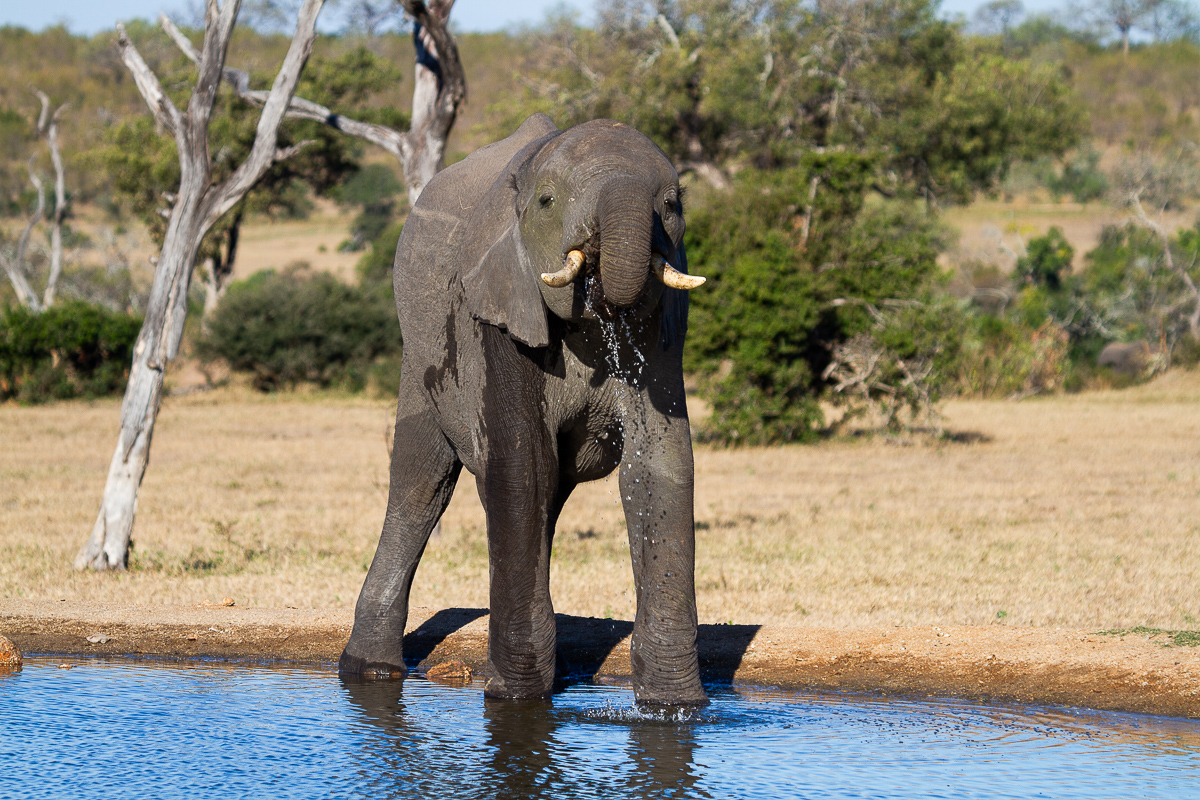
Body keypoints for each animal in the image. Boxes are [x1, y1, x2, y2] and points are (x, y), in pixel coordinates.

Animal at [338, 113, 709, 706]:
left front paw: (674, 706)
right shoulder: (498, 307)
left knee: (545, 498)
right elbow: (519, 466)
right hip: (420, 353)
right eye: (547, 201)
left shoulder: (663, 323)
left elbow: (659, 466)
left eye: (672, 205)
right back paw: (370, 671)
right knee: (421, 483)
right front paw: (513, 695)